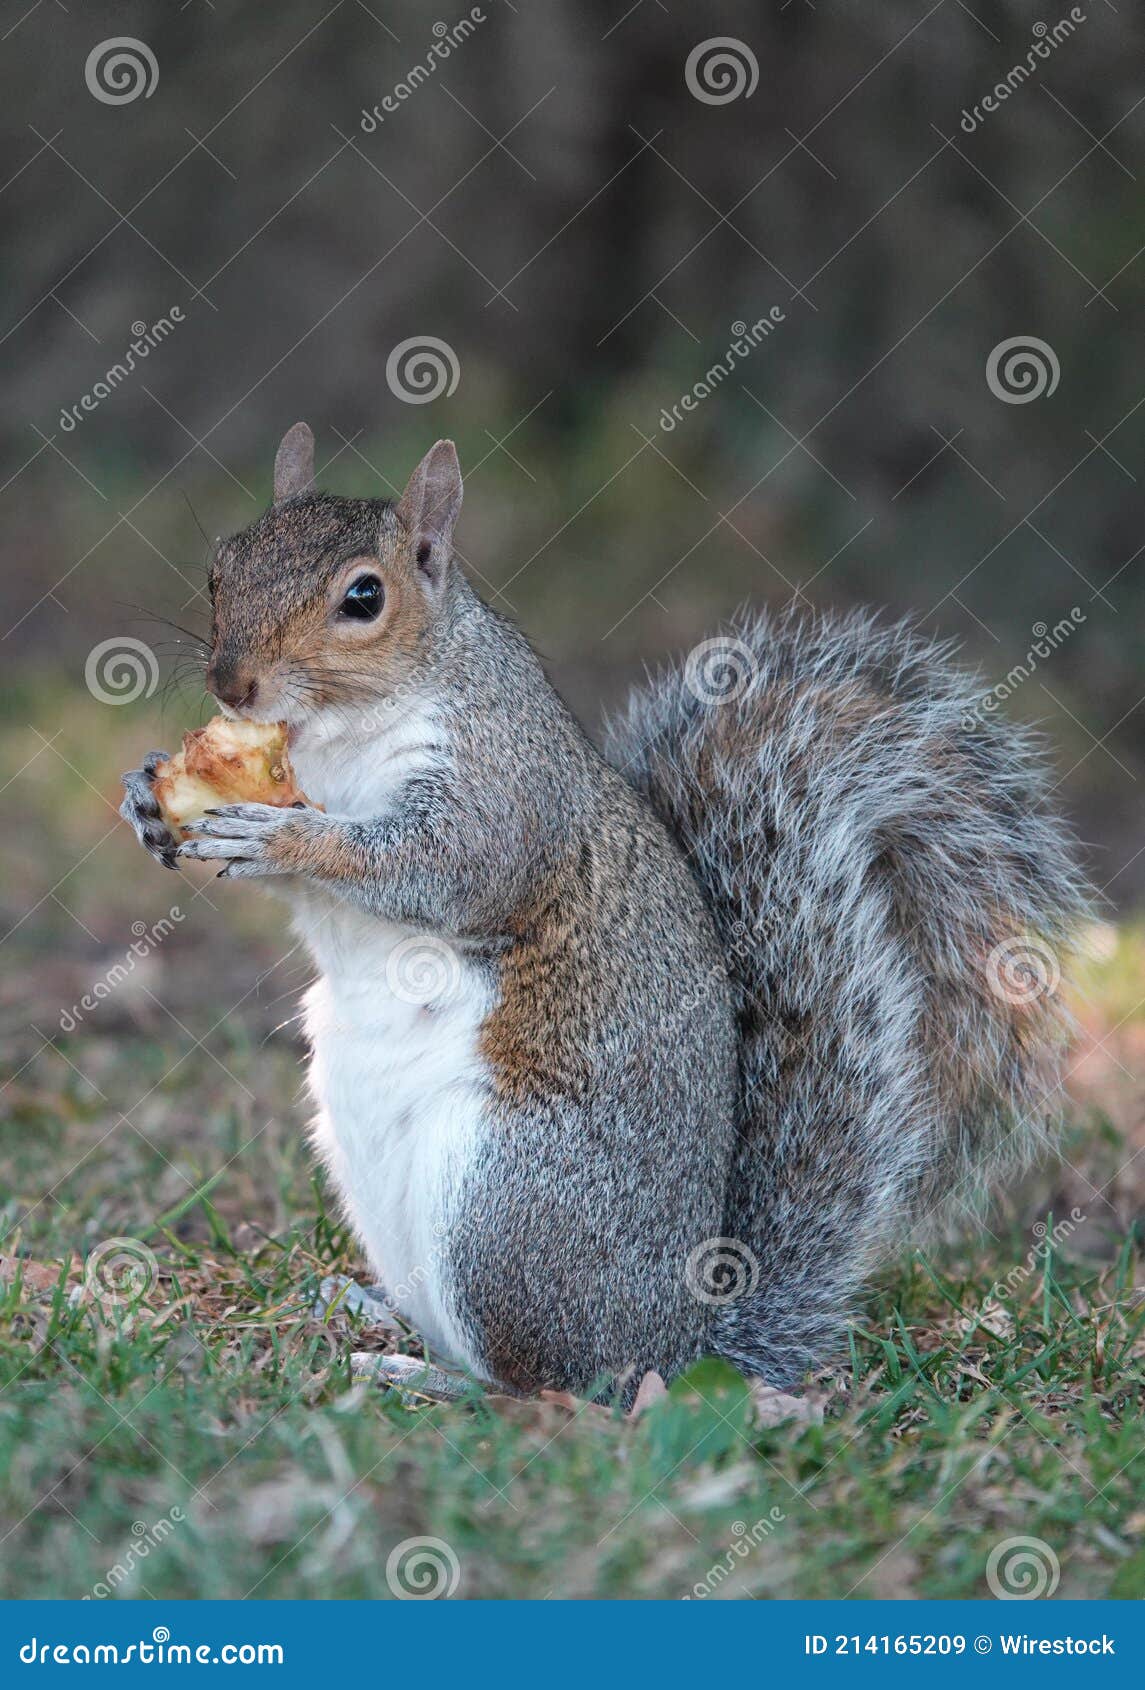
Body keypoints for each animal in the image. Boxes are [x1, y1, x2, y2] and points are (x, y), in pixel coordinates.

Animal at [120, 424, 1090, 1397]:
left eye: (363, 597)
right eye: (221, 567)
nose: (232, 684)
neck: (339, 732)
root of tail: (675, 1344)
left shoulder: (502, 789)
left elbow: (446, 870)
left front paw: (283, 836)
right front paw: (148, 800)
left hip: (503, 1207)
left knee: (540, 1385)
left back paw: (423, 1375)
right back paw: (365, 1308)